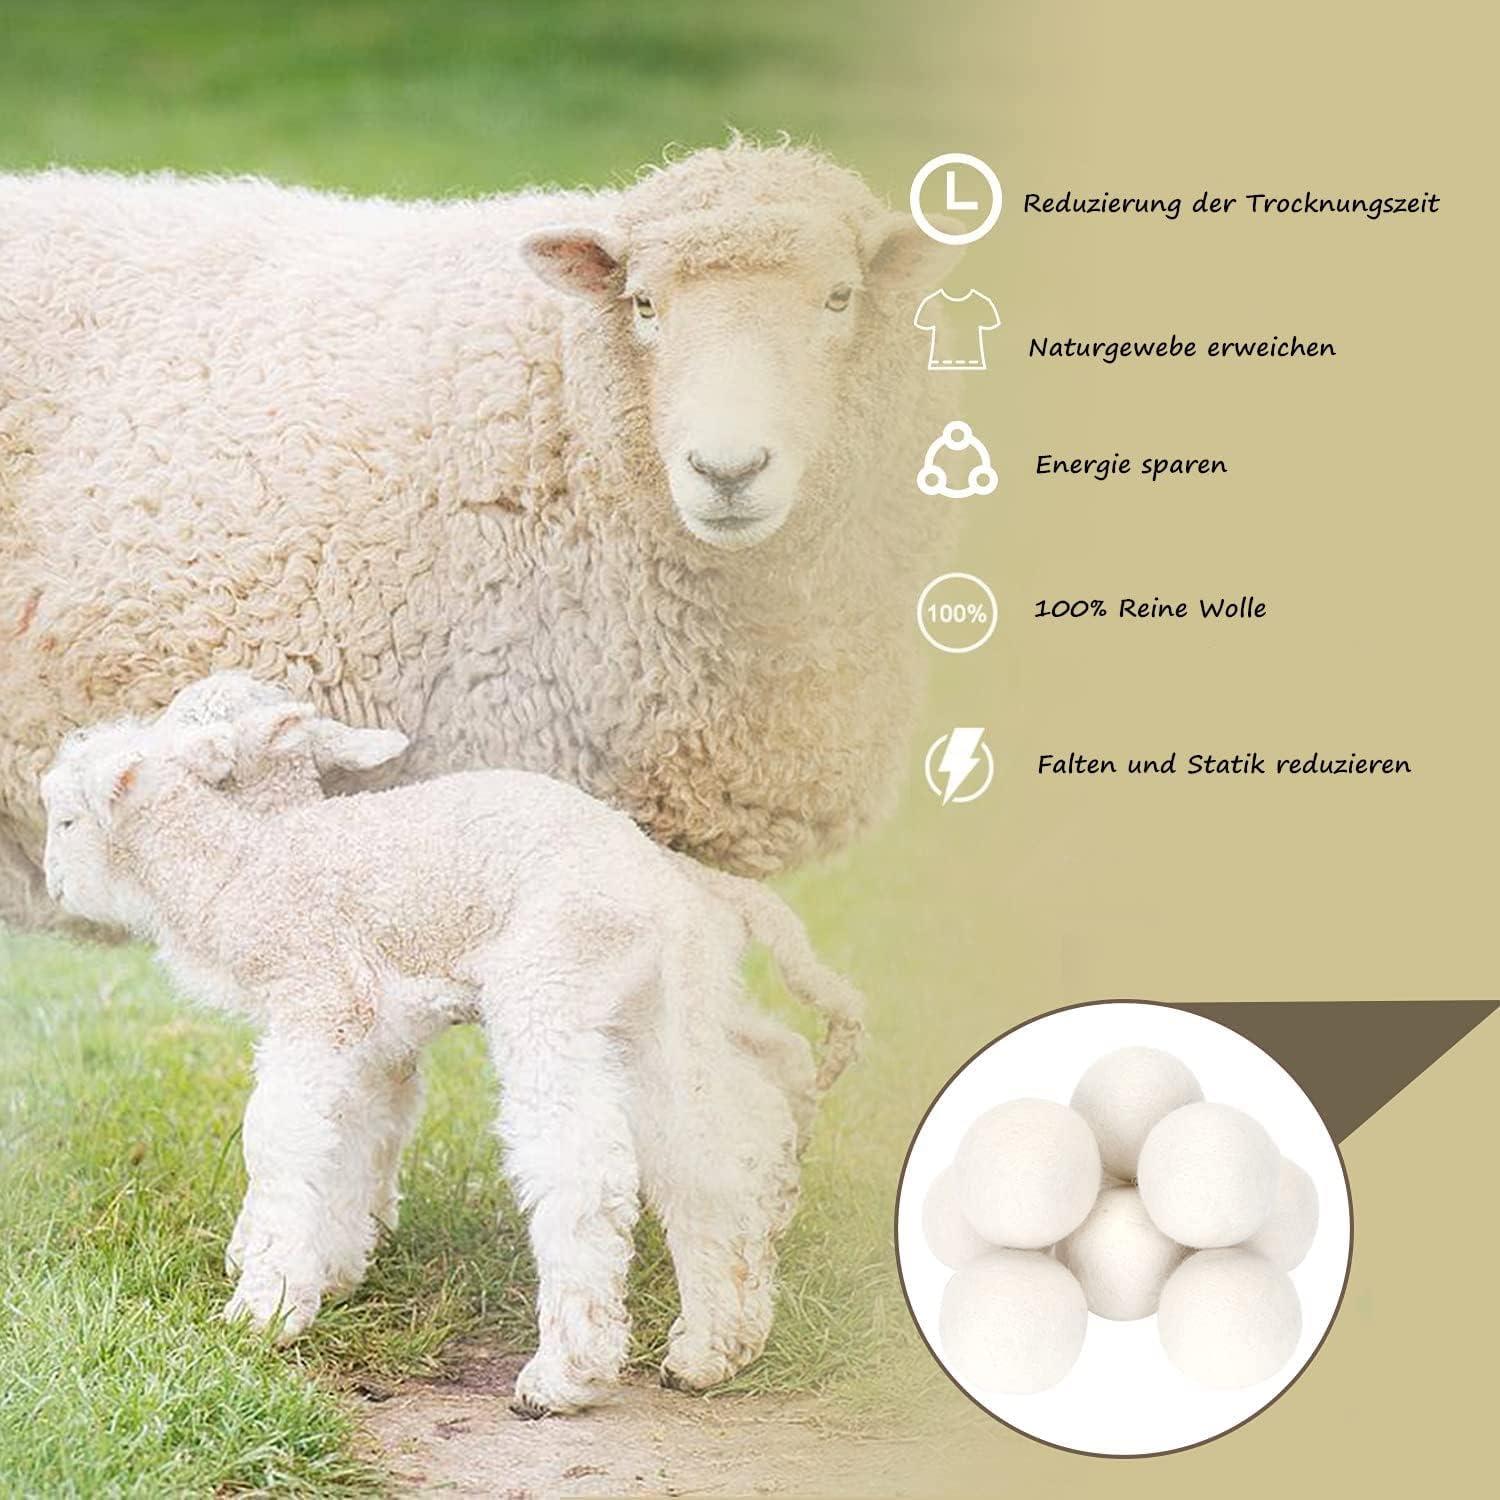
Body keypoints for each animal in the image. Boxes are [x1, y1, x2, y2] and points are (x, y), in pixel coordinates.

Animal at [40, 692, 865, 1417]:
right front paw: (331, 1268)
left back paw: (565, 1374)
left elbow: (278, 1138)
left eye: (68, 819)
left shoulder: (319, 993)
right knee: (712, 1154)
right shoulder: (371, 1035)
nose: (53, 887)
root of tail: (668, 885)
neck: (242, 863)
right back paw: (714, 1346)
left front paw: (265, 1308)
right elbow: (351, 1138)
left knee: (583, 1169)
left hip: (549, 983)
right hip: (661, 1011)